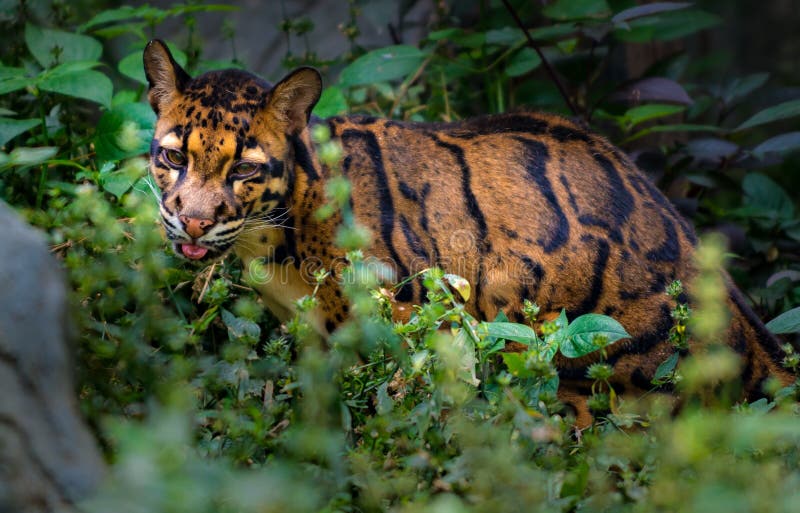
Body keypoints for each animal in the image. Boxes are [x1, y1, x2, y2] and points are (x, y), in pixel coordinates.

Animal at [143, 39, 795, 426]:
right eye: (173, 158)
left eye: (245, 170)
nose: (193, 219)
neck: (271, 238)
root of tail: (752, 331)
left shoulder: (426, 318)